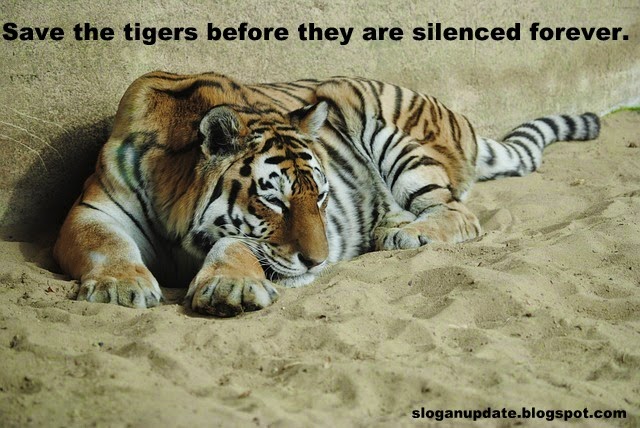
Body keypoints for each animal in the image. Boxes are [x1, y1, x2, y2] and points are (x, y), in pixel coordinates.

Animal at [53, 71, 600, 317]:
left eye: (320, 197)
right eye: (273, 199)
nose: (319, 261)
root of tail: (457, 116)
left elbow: (235, 246)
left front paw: (229, 287)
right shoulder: (91, 209)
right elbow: (106, 244)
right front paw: (120, 286)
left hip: (391, 136)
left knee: (460, 212)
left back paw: (406, 235)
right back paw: (391, 227)